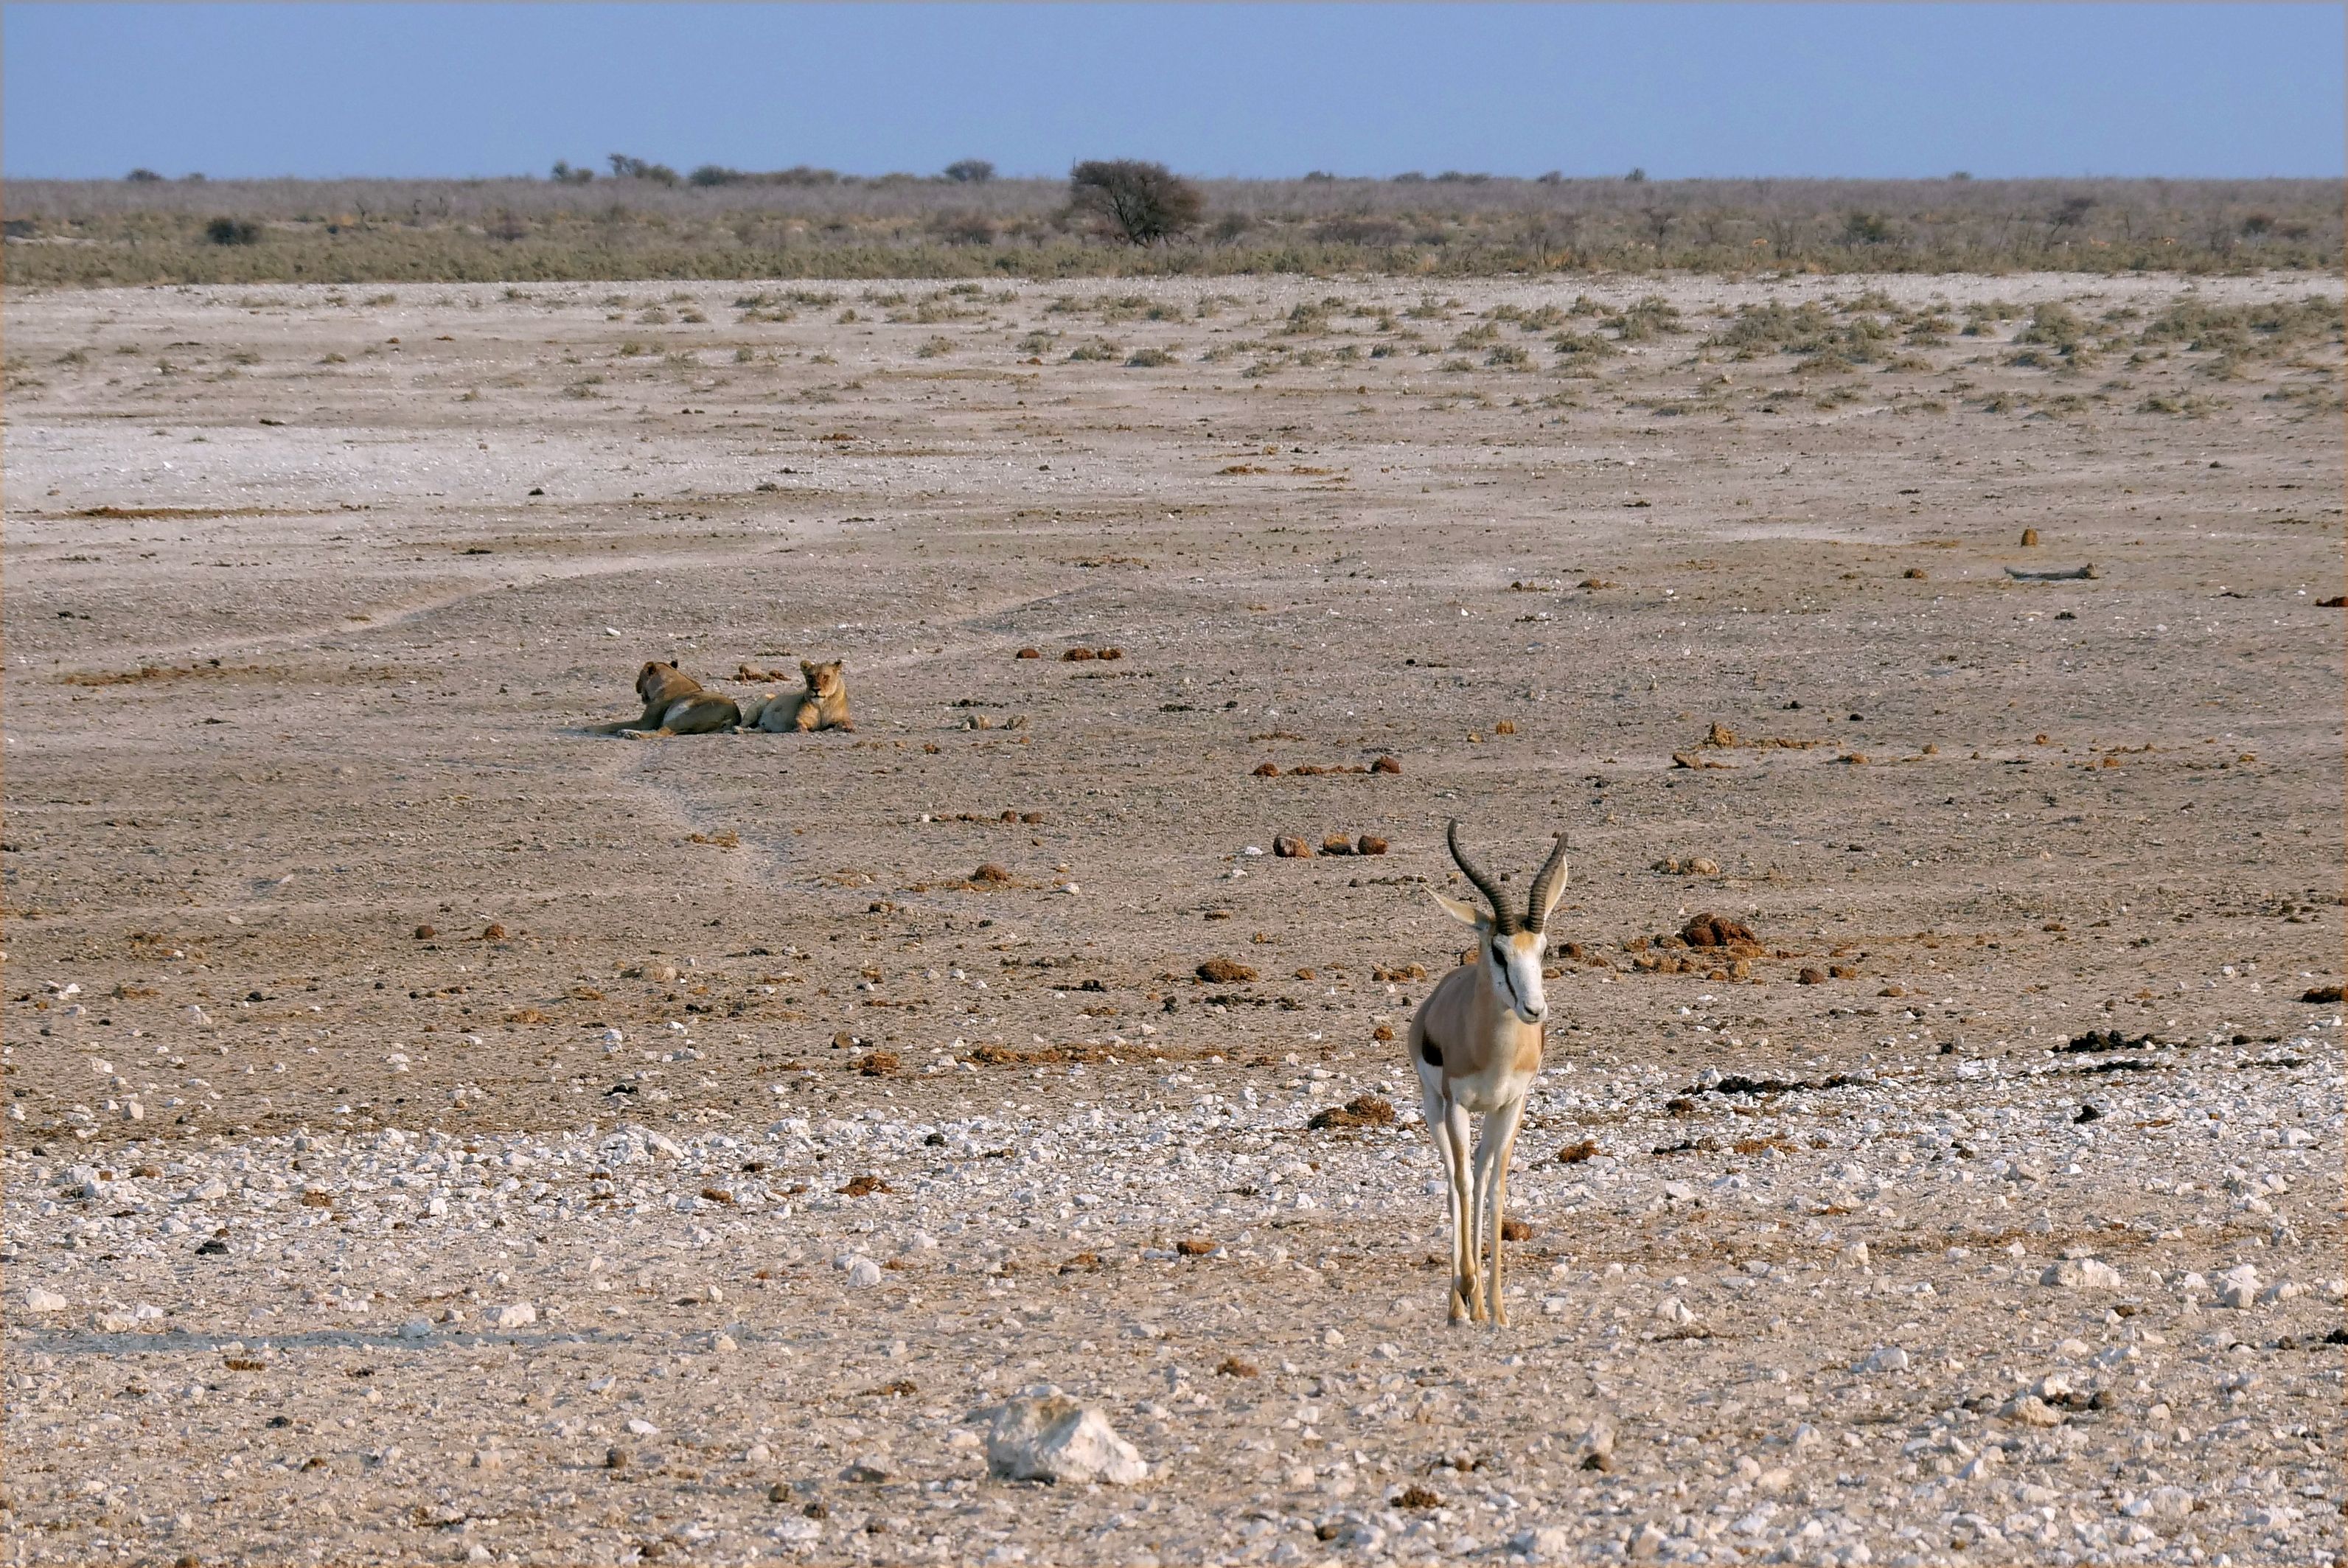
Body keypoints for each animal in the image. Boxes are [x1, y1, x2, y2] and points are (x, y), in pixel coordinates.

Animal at [596, 660, 740, 738]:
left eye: (639, 677)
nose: (636, 685)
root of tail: (734, 716)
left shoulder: (646, 722)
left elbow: (613, 724)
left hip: (687, 715)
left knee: (662, 732)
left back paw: (632, 734)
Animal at [741, 659, 853, 733]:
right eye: (810, 676)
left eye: (825, 677)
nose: (815, 690)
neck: (822, 705)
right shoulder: (800, 718)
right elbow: (801, 727)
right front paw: (799, 730)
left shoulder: (842, 718)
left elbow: (846, 723)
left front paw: (848, 728)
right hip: (761, 702)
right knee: (741, 725)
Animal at [1410, 820, 1569, 1325]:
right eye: (1498, 951)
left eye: (1543, 949)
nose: (1534, 1010)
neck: (1493, 1051)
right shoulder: (1457, 1104)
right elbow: (1460, 1183)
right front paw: (1465, 1288)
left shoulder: (1512, 1104)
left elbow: (1495, 1187)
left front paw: (1497, 1308)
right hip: (1434, 1108)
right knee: (1453, 1178)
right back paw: (1458, 1302)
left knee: (1479, 1176)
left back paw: (1478, 1302)